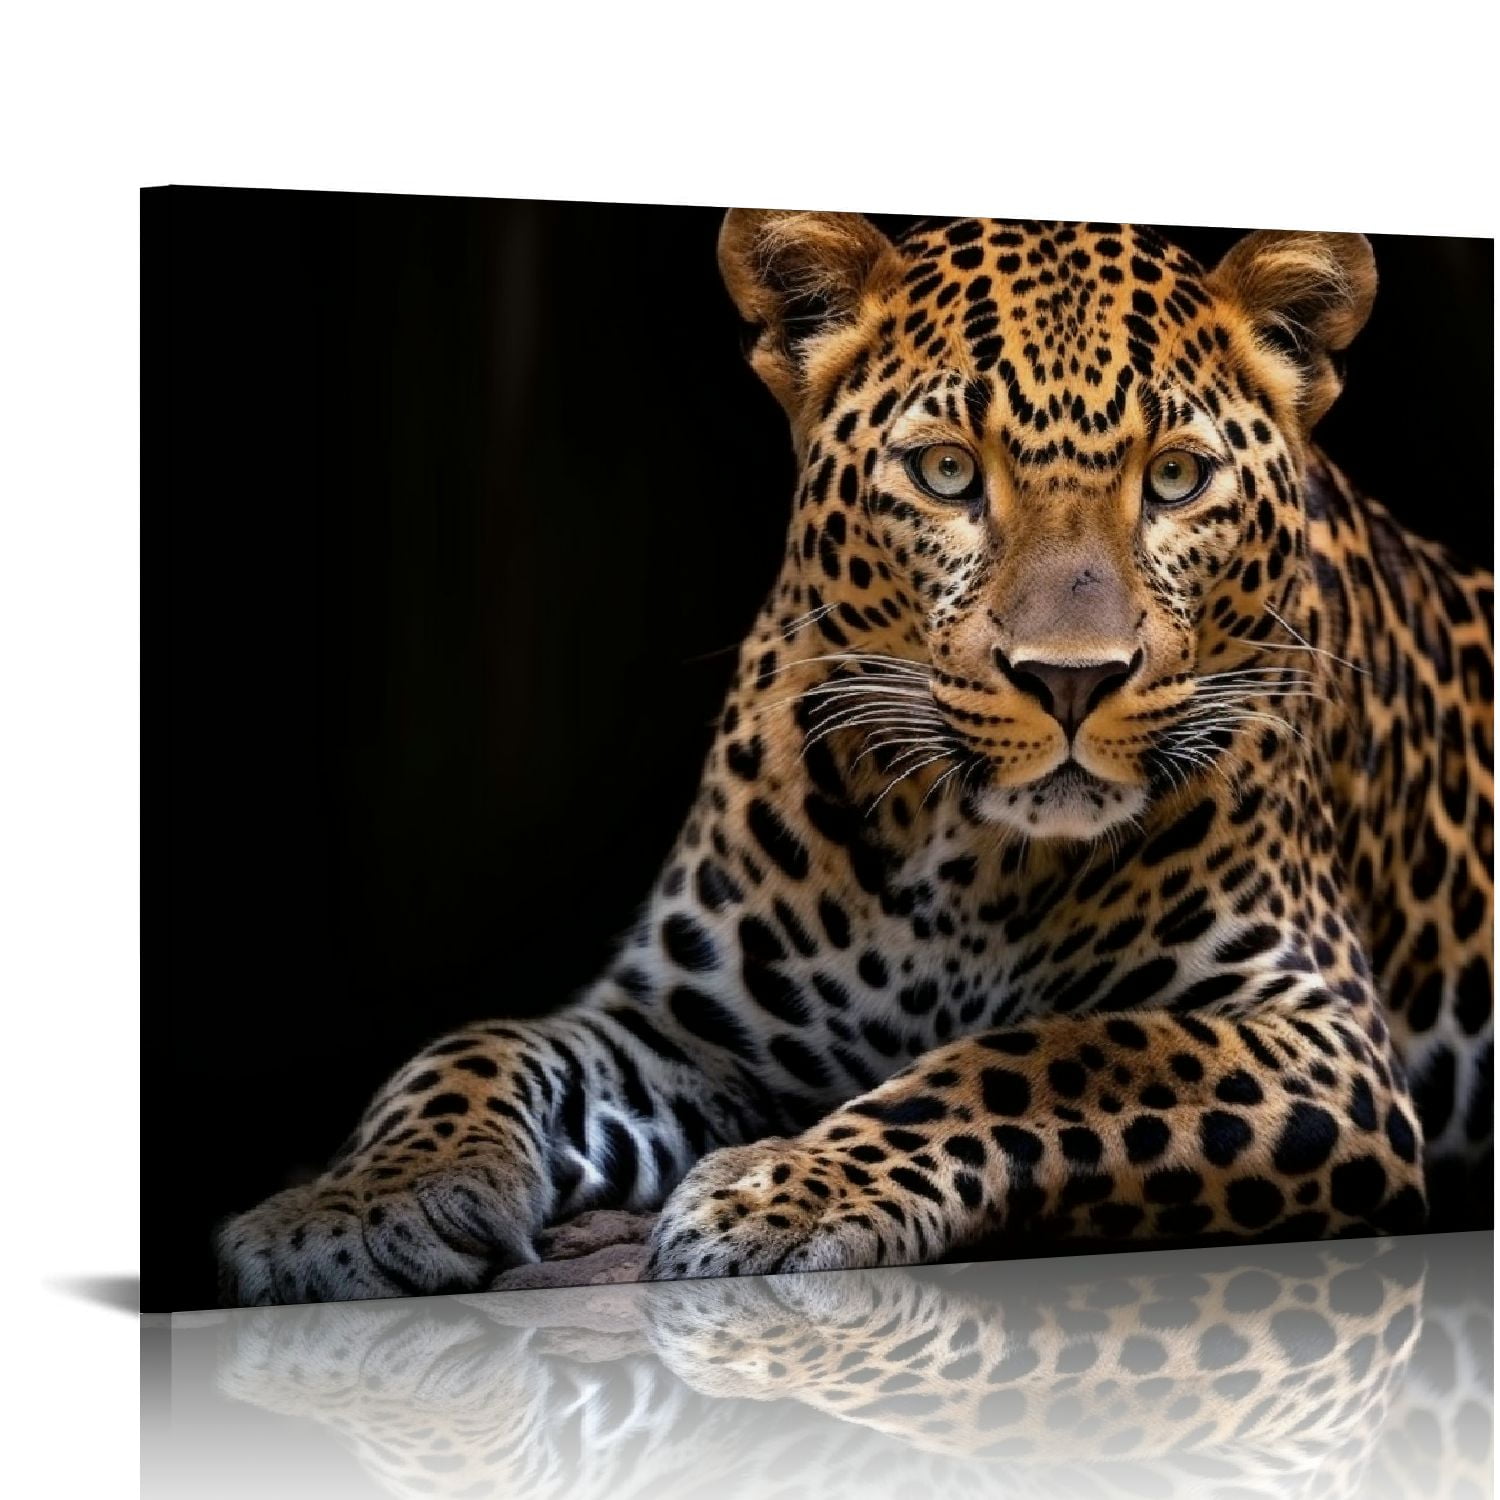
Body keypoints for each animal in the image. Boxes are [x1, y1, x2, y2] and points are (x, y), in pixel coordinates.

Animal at [217, 211, 1494, 1306]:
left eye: (1176, 479)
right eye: (946, 474)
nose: (1071, 679)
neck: (968, 855)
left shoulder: (1325, 1041)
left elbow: (1051, 1053)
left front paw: (782, 1191)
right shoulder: (687, 1027)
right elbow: (477, 1047)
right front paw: (353, 1204)